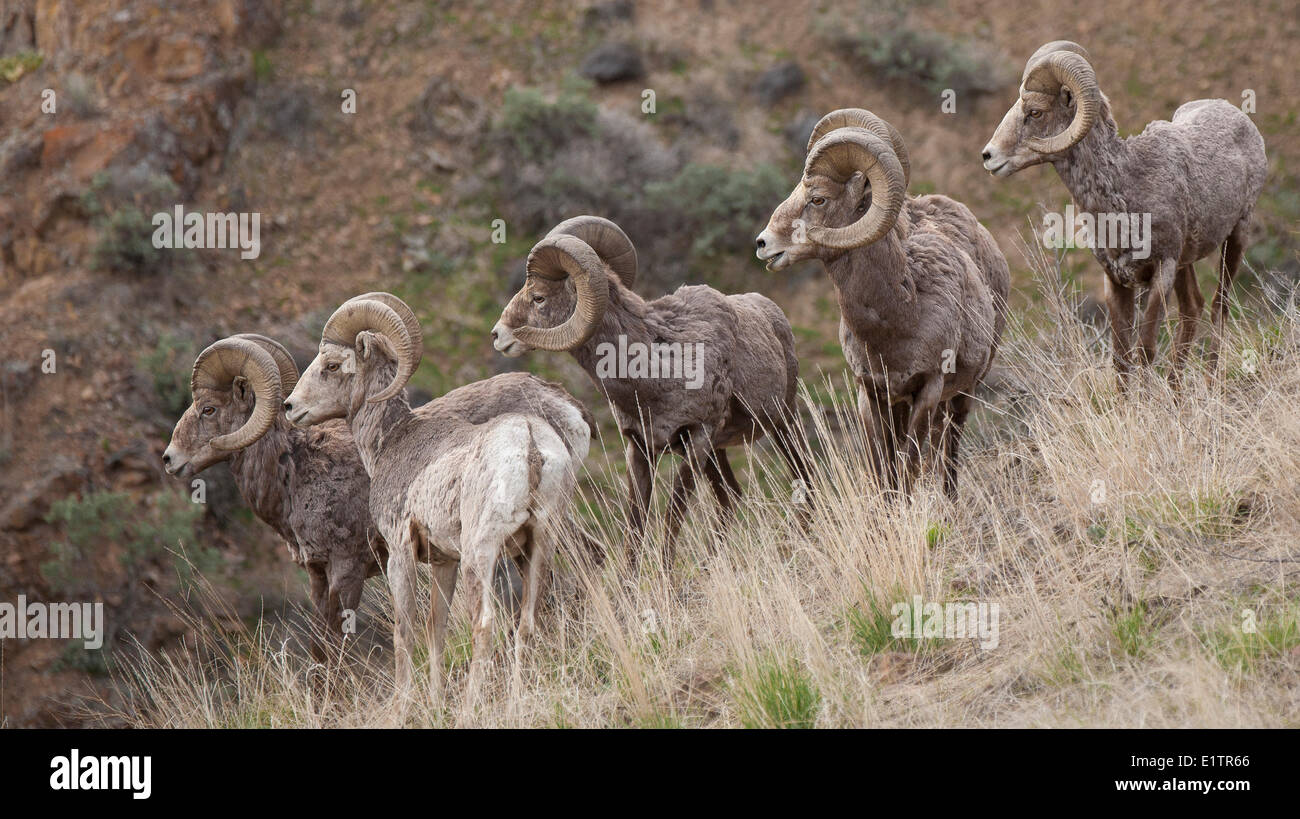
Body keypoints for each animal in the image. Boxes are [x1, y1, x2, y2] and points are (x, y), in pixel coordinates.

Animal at [282, 292, 590, 701]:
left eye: (331, 365)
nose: (290, 406)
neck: (392, 441)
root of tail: (530, 443)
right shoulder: (444, 562)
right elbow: (435, 629)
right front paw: (434, 699)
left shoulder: (400, 553)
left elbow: (405, 631)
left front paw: (403, 704)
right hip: (539, 544)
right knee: (527, 623)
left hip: (482, 552)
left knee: (485, 624)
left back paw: (471, 706)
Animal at [490, 215, 812, 562]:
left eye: (538, 297)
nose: (498, 335)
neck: (656, 370)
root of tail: (775, 314)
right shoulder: (640, 448)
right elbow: (636, 528)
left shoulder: (697, 440)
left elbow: (671, 521)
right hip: (721, 451)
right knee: (730, 498)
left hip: (784, 422)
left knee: (804, 476)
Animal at [755, 108, 1010, 495]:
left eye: (818, 199)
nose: (763, 243)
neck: (900, 317)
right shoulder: (872, 394)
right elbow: (883, 474)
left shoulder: (928, 390)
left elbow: (908, 471)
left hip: (963, 395)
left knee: (947, 455)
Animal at [981, 40, 1268, 383]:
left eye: (1034, 112)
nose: (988, 156)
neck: (1126, 194)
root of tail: (1241, 118)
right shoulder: (1115, 281)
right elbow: (1121, 359)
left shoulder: (1162, 272)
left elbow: (1145, 352)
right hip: (1187, 263)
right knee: (1192, 309)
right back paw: (1176, 391)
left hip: (1236, 237)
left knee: (1218, 306)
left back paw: (1210, 385)